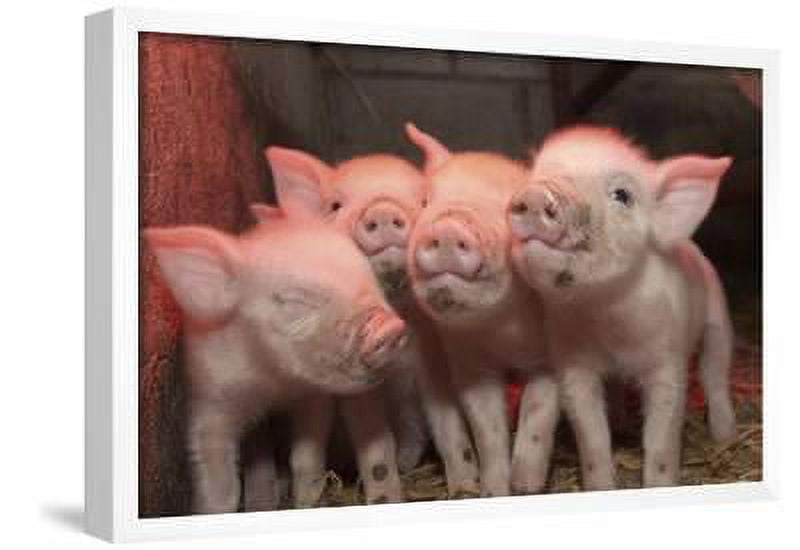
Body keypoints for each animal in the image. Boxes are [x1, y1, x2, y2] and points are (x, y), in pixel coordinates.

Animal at [143, 201, 409, 514]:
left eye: (368, 276)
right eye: (295, 301)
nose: (390, 328)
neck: (272, 385)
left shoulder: (312, 395)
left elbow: (305, 458)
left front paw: (306, 501)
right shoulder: (209, 397)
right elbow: (220, 487)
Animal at [259, 146, 480, 505]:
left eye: (424, 200)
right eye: (335, 205)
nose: (384, 209)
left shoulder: (434, 359)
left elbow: (449, 428)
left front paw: (467, 489)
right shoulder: (357, 384)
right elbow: (376, 444)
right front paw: (384, 500)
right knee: (305, 453)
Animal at [405, 123, 558, 497]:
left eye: (509, 207)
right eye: (425, 201)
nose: (447, 227)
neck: (503, 329)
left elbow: (538, 410)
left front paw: (526, 487)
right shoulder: (467, 361)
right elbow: (486, 428)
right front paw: (494, 492)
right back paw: (463, 486)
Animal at [506, 125, 737, 489]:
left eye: (622, 195)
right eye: (538, 172)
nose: (537, 194)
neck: (608, 317)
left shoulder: (667, 361)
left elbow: (660, 439)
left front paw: (660, 484)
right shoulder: (574, 363)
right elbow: (592, 438)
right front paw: (601, 484)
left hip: (718, 317)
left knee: (714, 374)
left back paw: (725, 435)